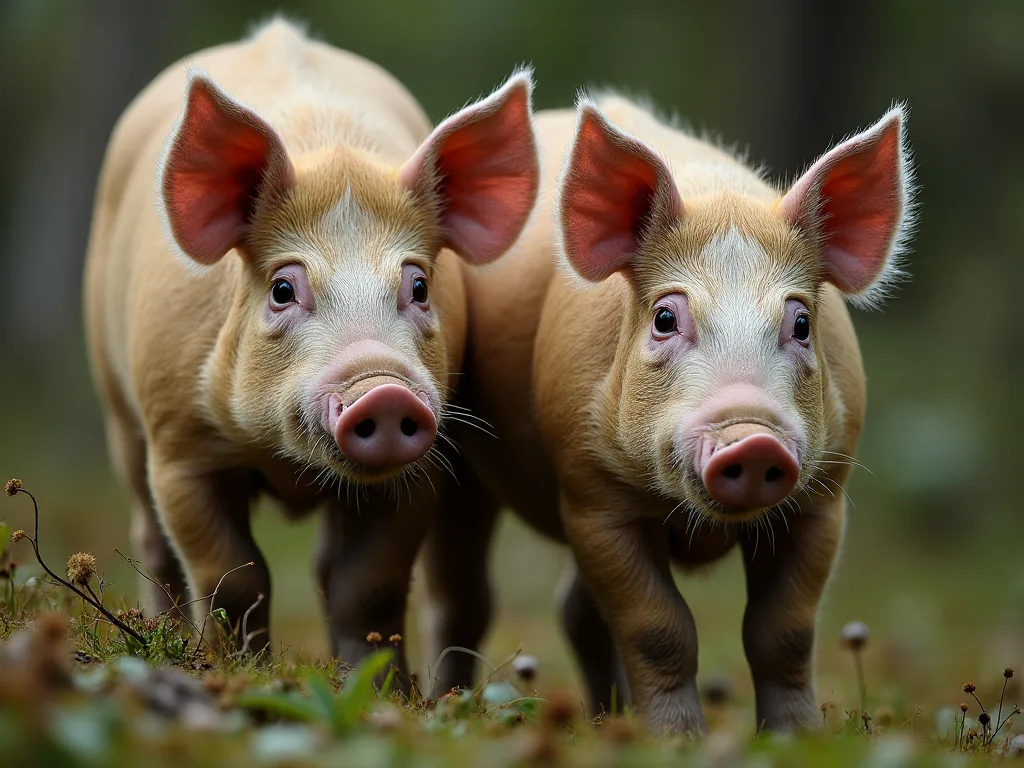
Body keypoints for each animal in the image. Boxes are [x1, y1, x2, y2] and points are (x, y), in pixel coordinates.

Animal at [83, 18, 539, 680]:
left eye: (419, 286)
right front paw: (239, 673)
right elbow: (229, 577)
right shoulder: (179, 449)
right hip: (119, 411)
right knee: (150, 537)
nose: (383, 390)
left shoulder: (421, 472)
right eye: (282, 288)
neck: (286, 462)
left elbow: (368, 585)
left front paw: (379, 687)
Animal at [446, 96, 914, 732]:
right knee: (464, 596)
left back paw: (606, 722)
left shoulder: (823, 500)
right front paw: (677, 740)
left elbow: (785, 633)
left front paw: (797, 738)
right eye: (666, 318)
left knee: (573, 612)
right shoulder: (592, 498)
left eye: (800, 323)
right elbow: (658, 628)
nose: (753, 437)